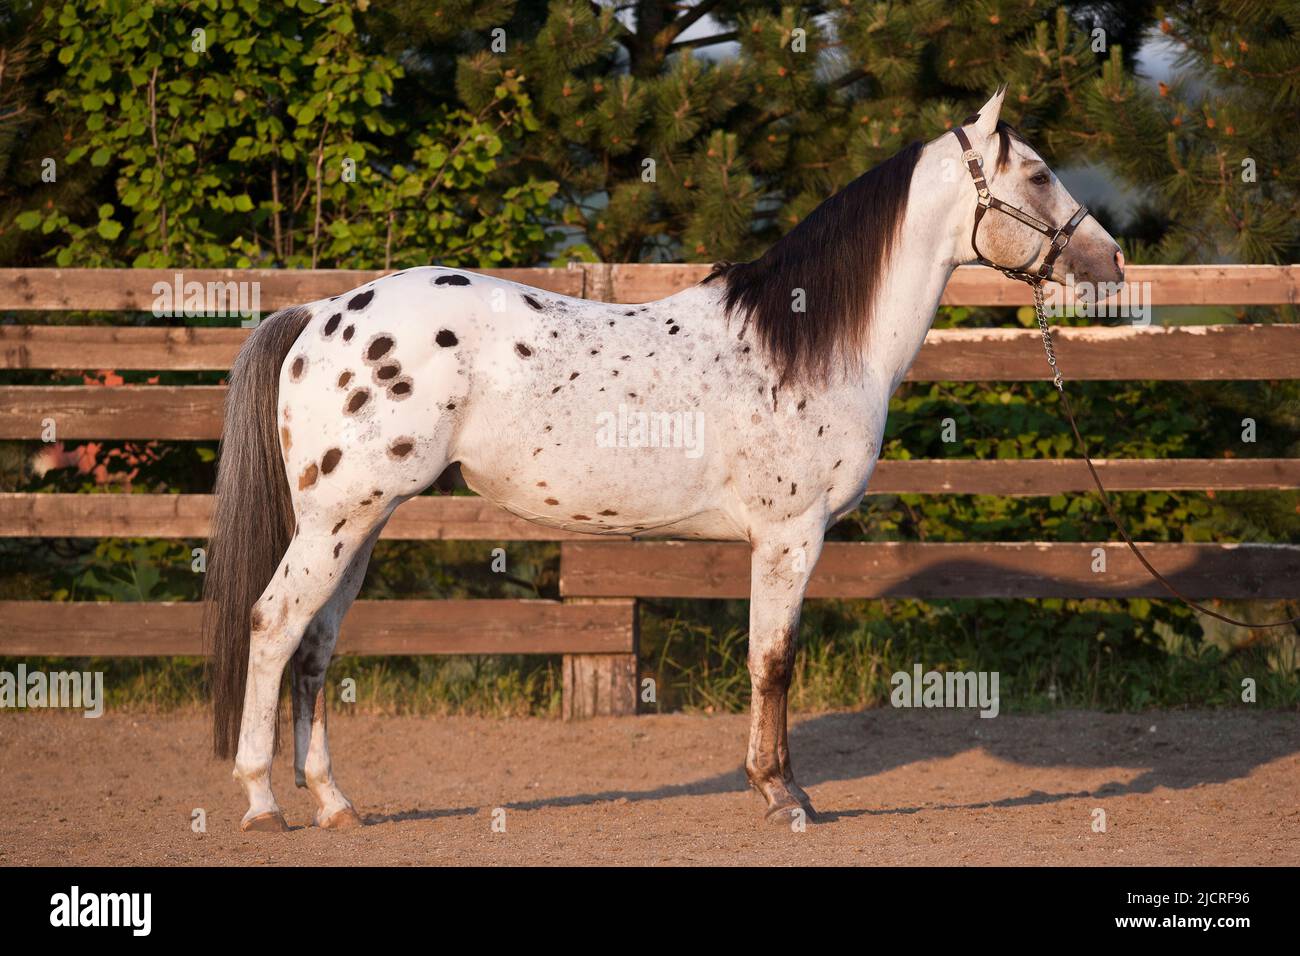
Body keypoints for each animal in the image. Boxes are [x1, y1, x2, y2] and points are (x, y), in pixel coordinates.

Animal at [205, 86, 1125, 830]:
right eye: (1039, 175)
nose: (1110, 260)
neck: (804, 344)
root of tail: (323, 312)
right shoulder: (789, 537)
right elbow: (773, 662)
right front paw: (783, 796)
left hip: (358, 524)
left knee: (316, 647)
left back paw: (333, 804)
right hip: (337, 518)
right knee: (274, 624)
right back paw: (260, 803)